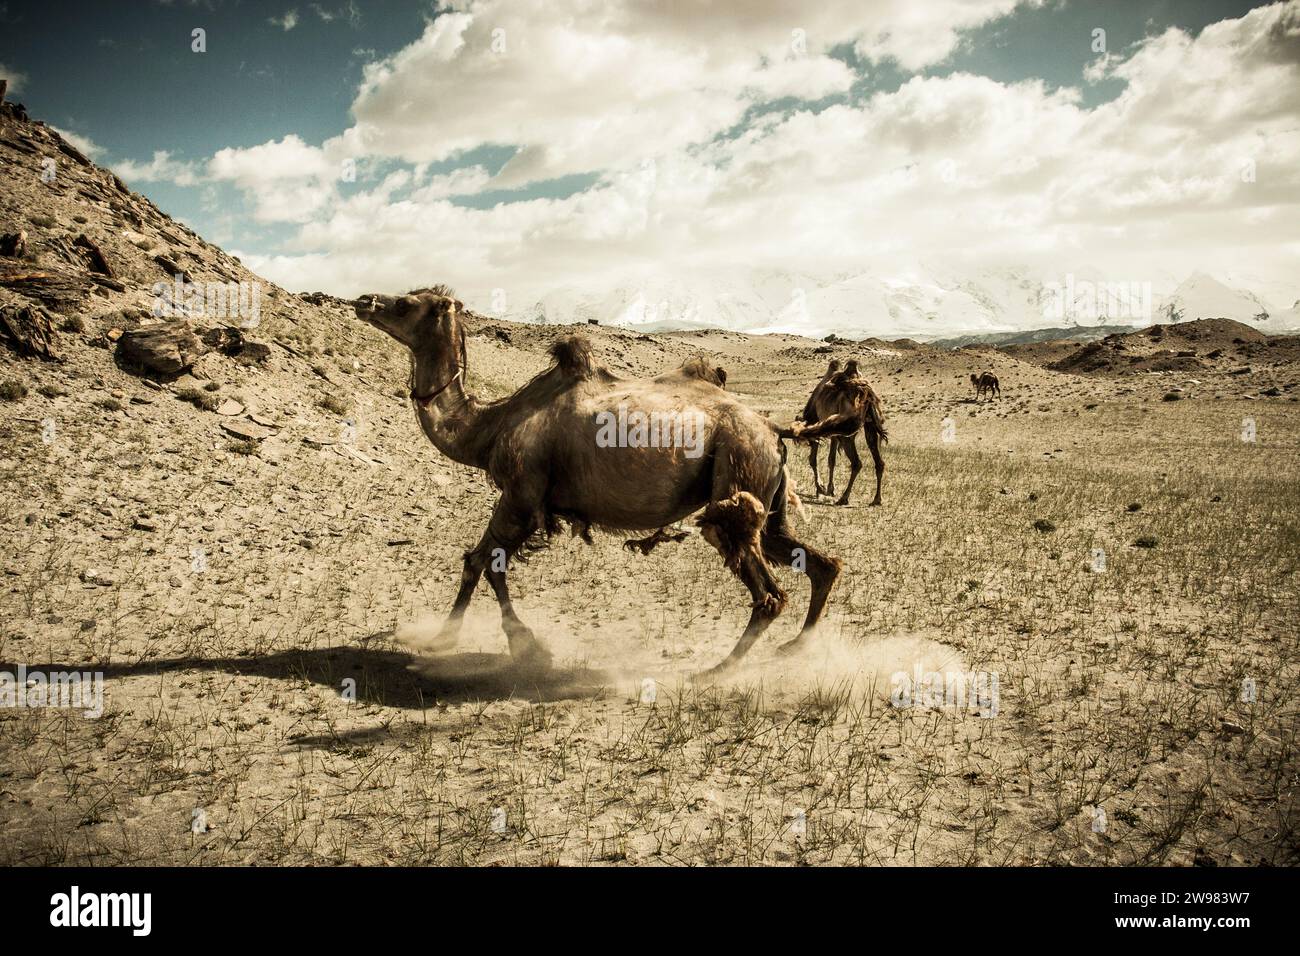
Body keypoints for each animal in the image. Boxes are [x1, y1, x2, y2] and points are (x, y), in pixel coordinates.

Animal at [354, 287, 842, 675]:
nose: (363, 300)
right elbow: (477, 561)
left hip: (738, 475)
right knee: (818, 561)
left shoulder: (520, 495)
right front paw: (447, 638)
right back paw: (794, 648)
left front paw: (521, 647)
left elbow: (486, 562)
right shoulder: (523, 501)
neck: (490, 428)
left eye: (405, 303)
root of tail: (772, 428)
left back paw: (717, 671)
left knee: (768, 591)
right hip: (766, 495)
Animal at [798, 359, 887, 506]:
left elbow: (813, 459)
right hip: (870, 427)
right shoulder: (834, 433)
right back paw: (877, 499)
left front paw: (820, 489)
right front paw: (829, 489)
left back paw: (844, 498)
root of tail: (867, 394)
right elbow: (831, 460)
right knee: (879, 462)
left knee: (857, 463)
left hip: (847, 432)